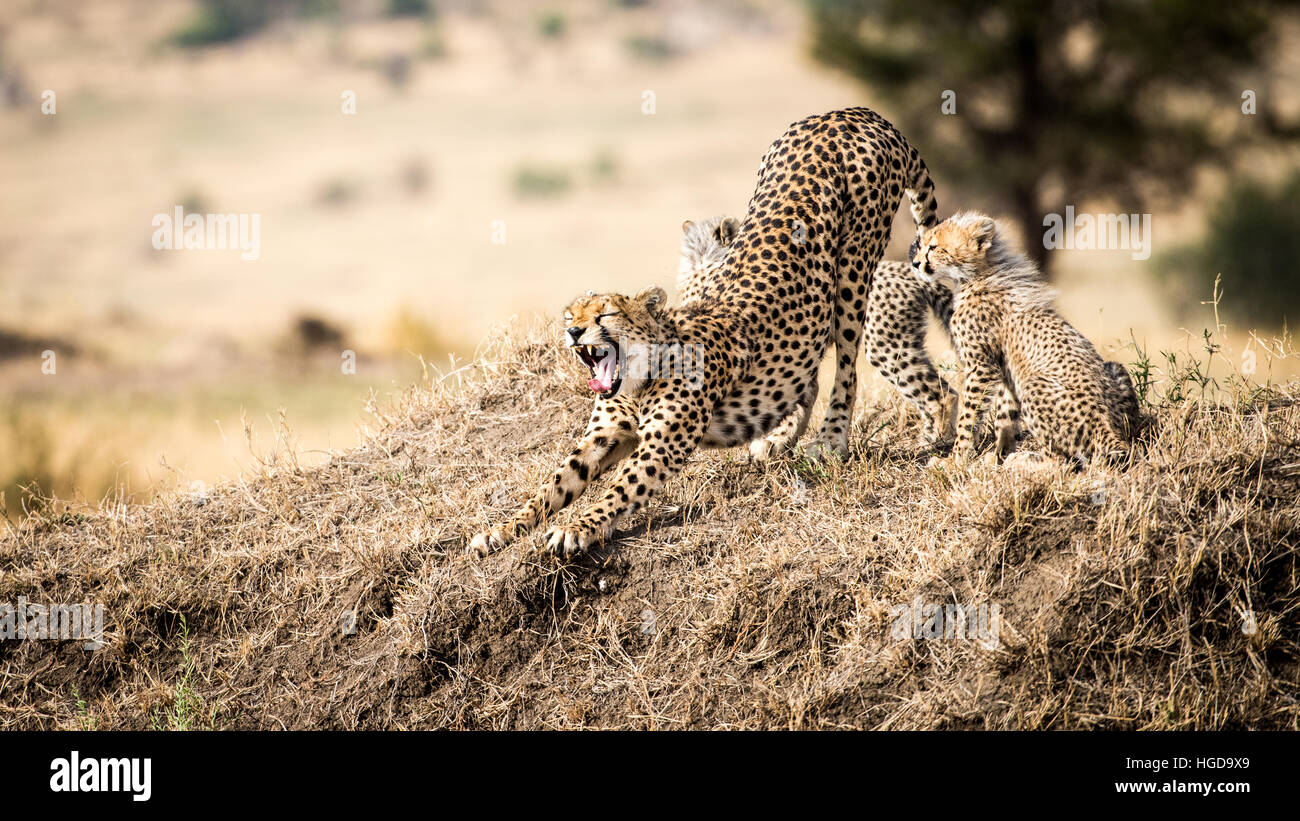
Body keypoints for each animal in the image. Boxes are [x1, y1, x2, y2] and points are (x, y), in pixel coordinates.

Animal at [468, 106, 939, 556]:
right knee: (804, 373)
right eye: (570, 317)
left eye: (605, 315)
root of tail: (855, 113)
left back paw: (832, 441)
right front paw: (499, 531)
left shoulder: (662, 445)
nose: (574, 334)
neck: (639, 376)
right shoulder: (602, 437)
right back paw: (778, 438)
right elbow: (551, 487)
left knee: (846, 365)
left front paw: (577, 528)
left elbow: (618, 490)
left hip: (853, 270)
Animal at [911, 210, 1141, 467]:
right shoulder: (1005, 367)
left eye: (933, 247)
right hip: (1114, 371)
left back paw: (1026, 461)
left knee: (1059, 462)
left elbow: (968, 416)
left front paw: (956, 459)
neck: (978, 275)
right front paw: (999, 454)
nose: (915, 263)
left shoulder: (982, 367)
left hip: (1034, 386)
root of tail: (1109, 427)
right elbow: (1006, 413)